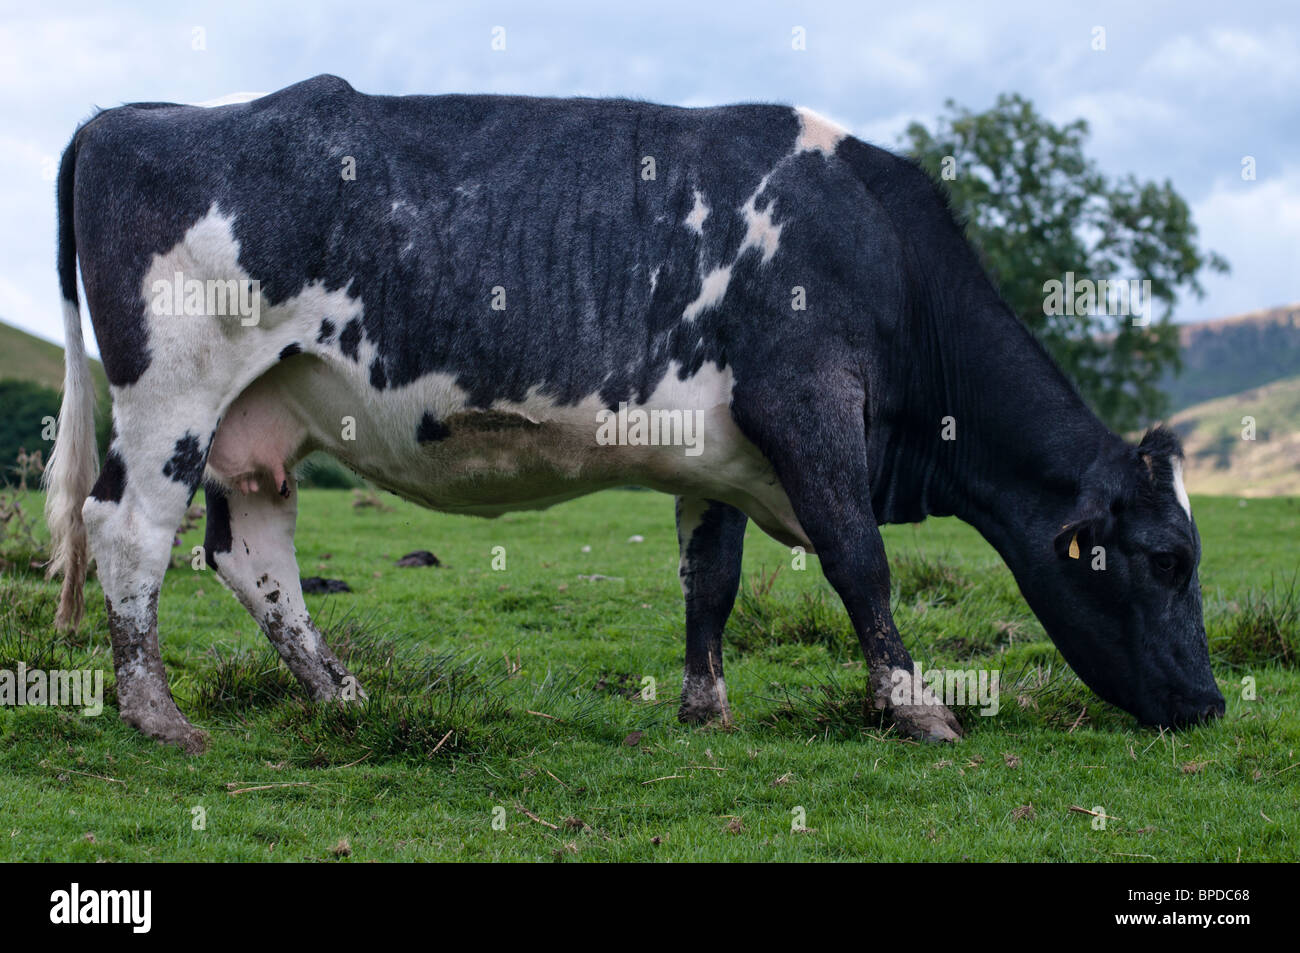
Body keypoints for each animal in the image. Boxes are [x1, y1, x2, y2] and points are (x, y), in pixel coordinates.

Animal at [44, 75, 1225, 753]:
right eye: (1167, 559)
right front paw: (915, 705)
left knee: (253, 553)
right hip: (175, 390)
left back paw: (339, 693)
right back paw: (157, 711)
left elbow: (714, 579)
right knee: (129, 529)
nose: (1211, 702)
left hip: (264, 413)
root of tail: (128, 116)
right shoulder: (807, 401)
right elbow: (860, 560)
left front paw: (705, 708)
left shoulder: (720, 452)